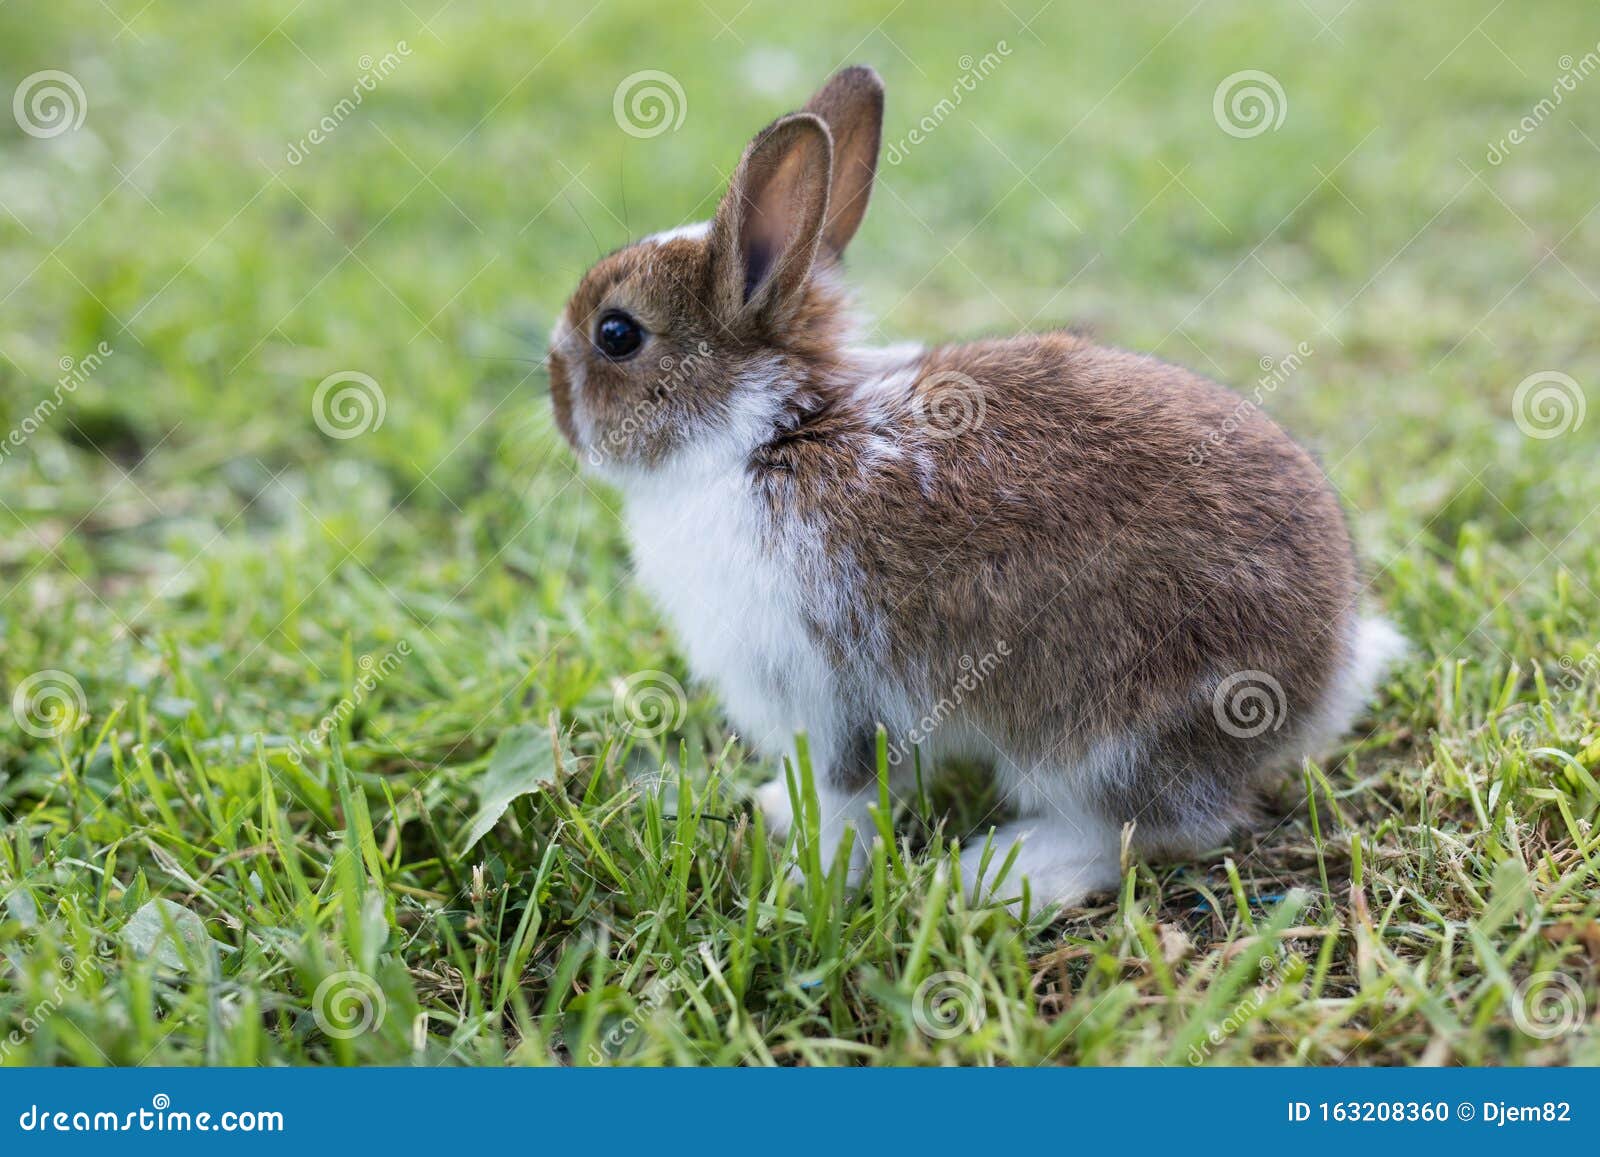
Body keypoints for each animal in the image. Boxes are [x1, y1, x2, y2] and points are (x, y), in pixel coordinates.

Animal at [546, 65, 1405, 910]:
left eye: (616, 334)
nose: (554, 402)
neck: (765, 433)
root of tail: (1329, 669)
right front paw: (777, 811)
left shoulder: (836, 693)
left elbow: (847, 793)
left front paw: (809, 883)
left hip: (1107, 731)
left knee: (1148, 829)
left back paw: (1000, 872)